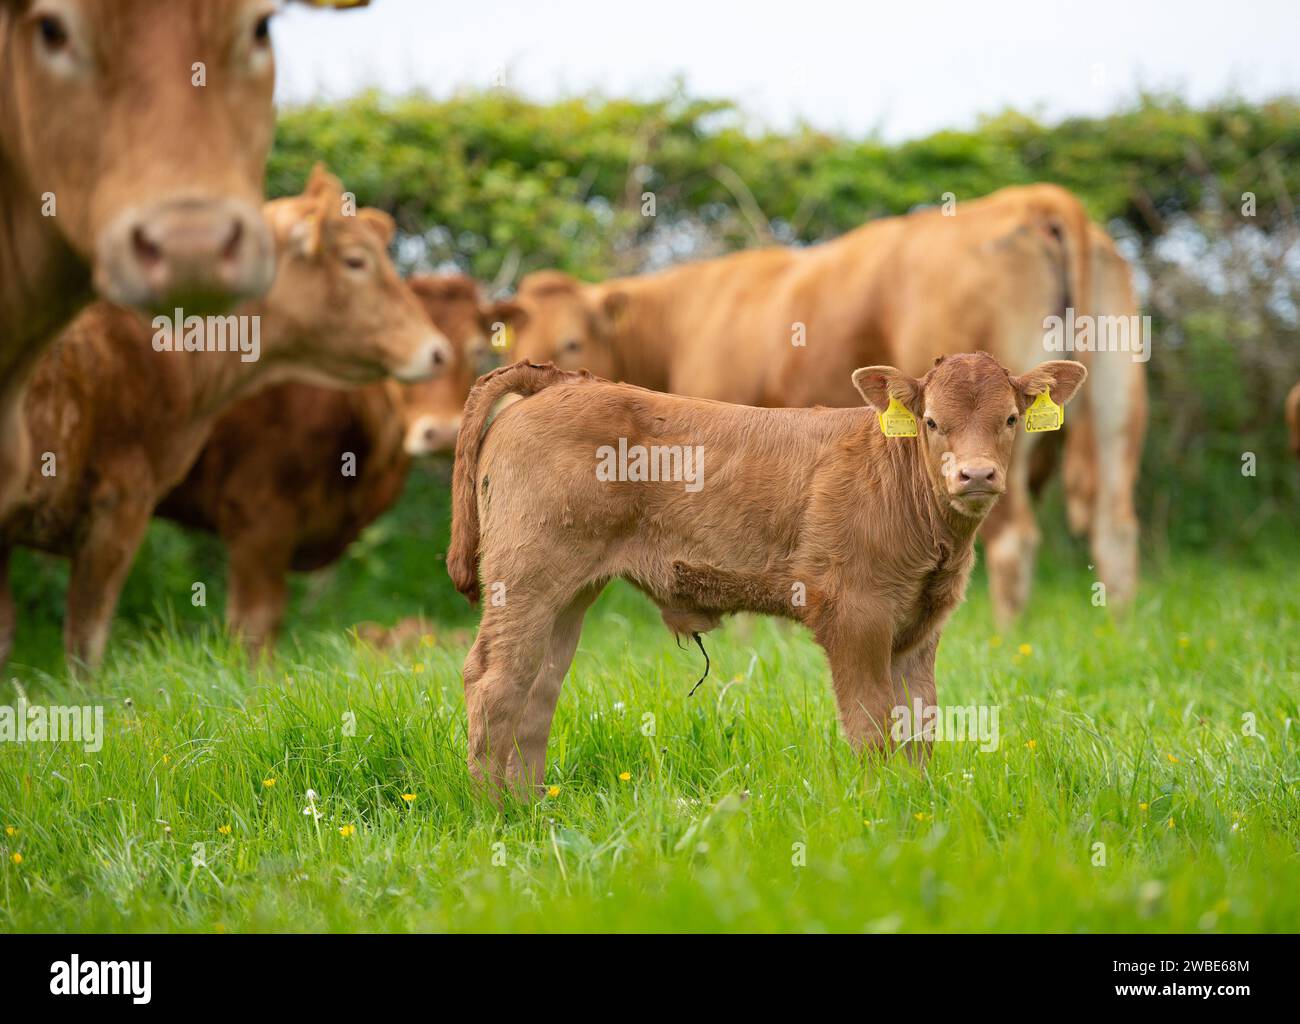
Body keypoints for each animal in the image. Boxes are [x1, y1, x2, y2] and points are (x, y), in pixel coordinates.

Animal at [447, 354, 1087, 798]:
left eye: (1010, 418)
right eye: (931, 422)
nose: (975, 475)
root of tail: (565, 382)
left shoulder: (921, 626)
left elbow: (919, 725)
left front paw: (919, 806)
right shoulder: (854, 614)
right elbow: (872, 725)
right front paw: (882, 810)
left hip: (570, 591)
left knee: (539, 687)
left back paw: (532, 805)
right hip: (526, 575)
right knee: (494, 682)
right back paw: (492, 813)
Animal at [492, 184, 1145, 623]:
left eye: (573, 340)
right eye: (517, 342)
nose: (544, 377)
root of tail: (1035, 199)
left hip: (985, 442)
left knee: (1014, 540)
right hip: (1117, 401)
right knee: (1115, 525)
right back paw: (1118, 633)